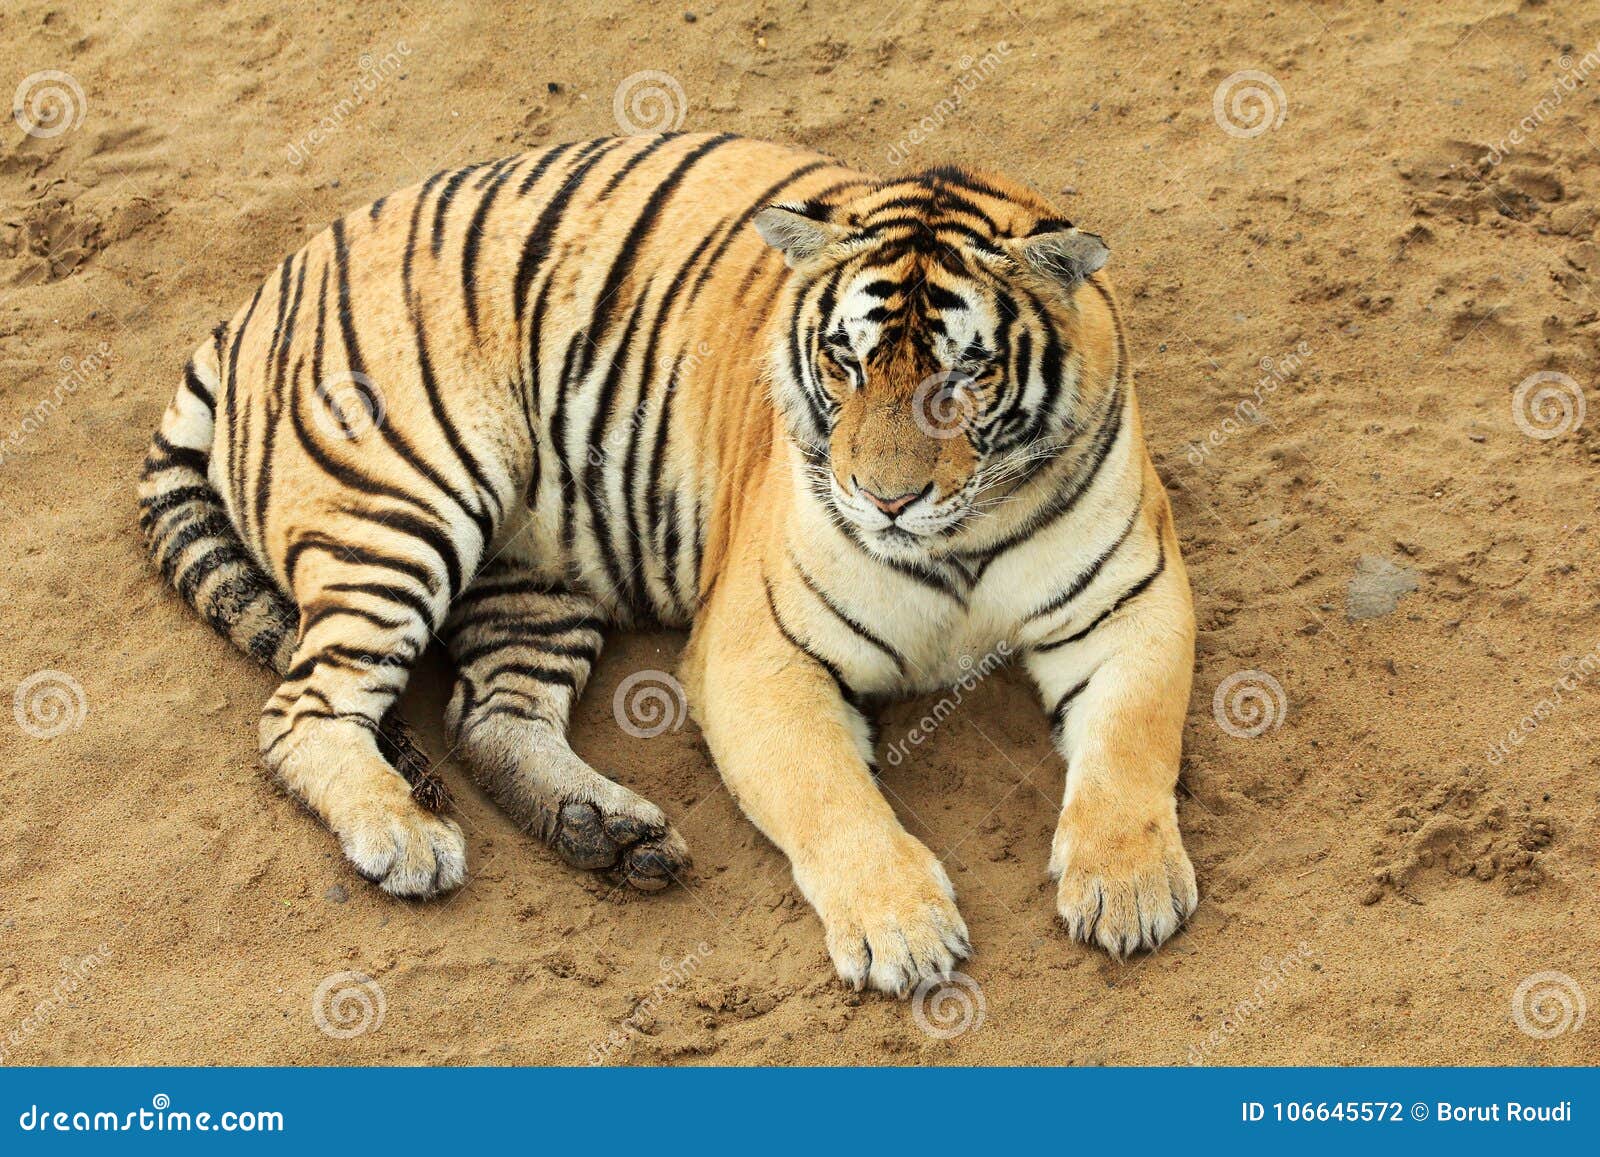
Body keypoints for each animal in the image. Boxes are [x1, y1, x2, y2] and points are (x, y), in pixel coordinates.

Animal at [137, 132, 1198, 996]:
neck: (960, 540)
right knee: (302, 709)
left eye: (967, 372)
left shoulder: (1134, 602)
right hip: (406, 507)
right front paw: (902, 930)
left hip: (537, 580)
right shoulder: (758, 651)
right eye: (846, 361)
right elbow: (833, 798)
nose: (884, 499)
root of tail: (256, 298)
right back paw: (408, 838)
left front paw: (1127, 886)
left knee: (489, 715)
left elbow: (1132, 739)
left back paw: (606, 833)